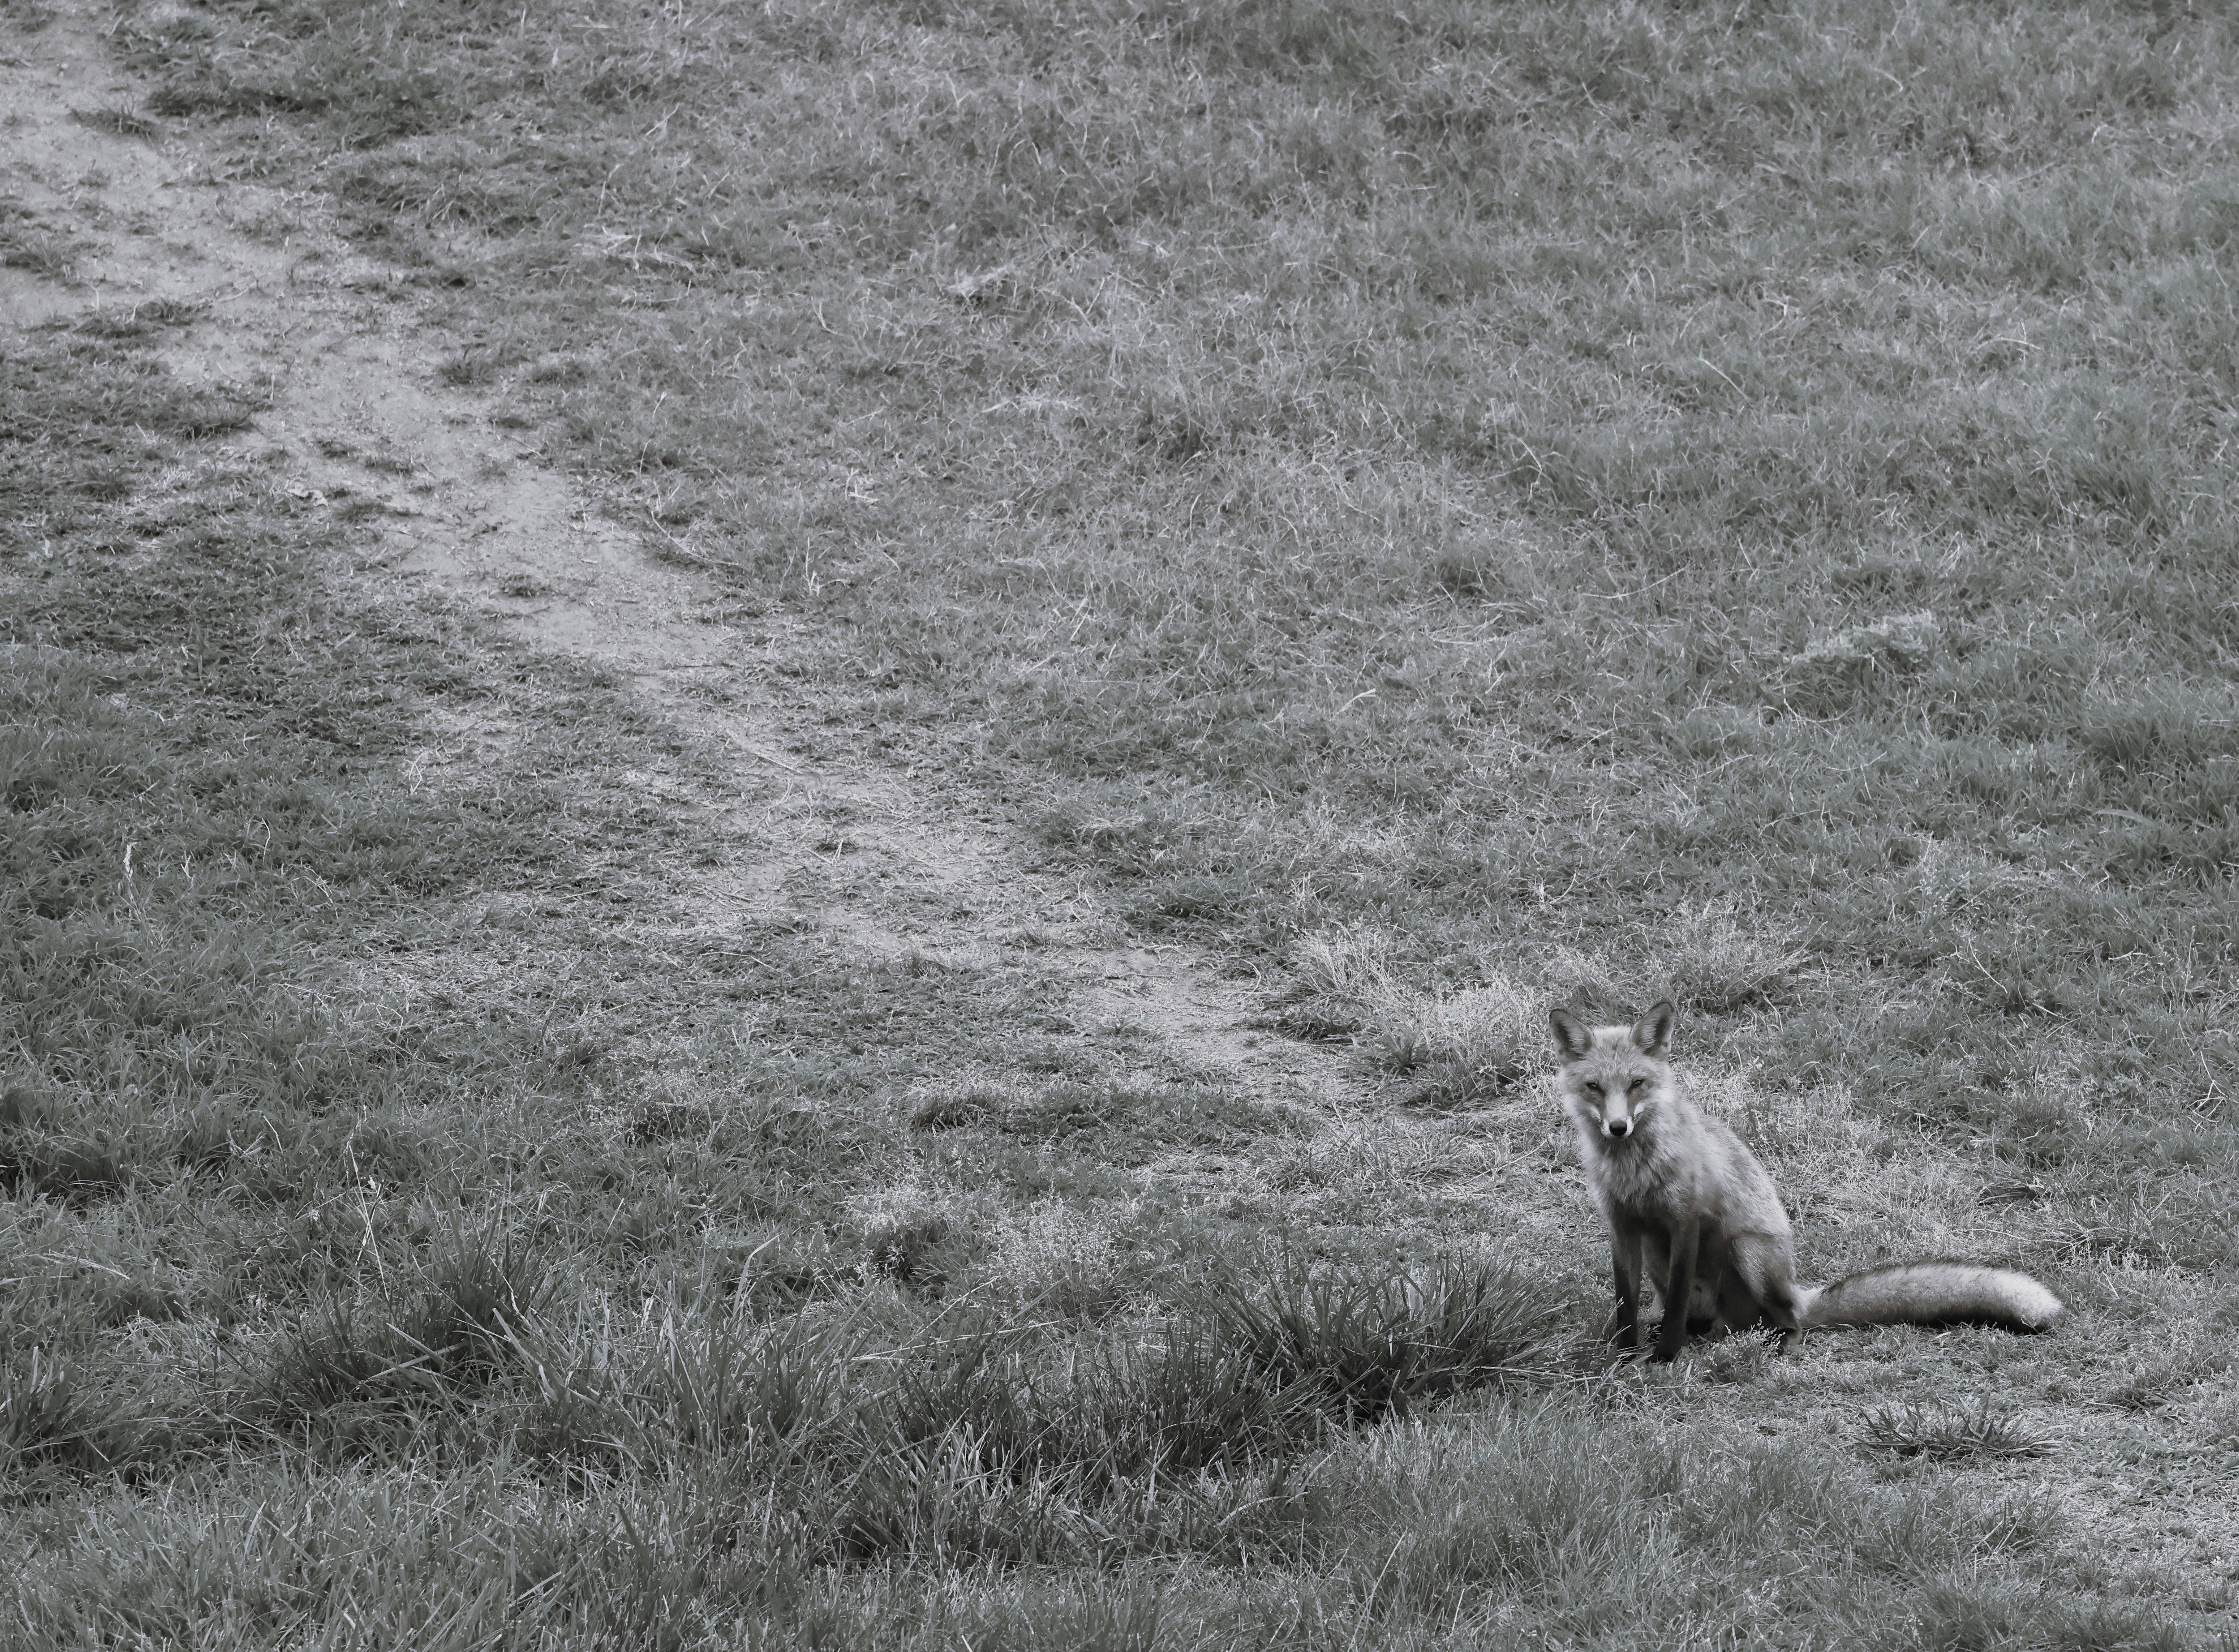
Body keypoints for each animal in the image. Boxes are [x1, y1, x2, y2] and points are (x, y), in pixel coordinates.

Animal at [1551, 1000, 2063, 1363]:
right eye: (1595, 1087)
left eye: (1637, 1083)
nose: (1618, 1127)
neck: (1634, 1168)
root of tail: (1796, 1289)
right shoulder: (1622, 1226)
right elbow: (1625, 1301)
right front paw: (1624, 1354)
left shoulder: (1686, 1221)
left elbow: (1675, 1303)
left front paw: (1664, 1359)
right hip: (1660, 1256)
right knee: (1713, 1322)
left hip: (1748, 1253)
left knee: (1787, 1320)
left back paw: (1782, 1344)